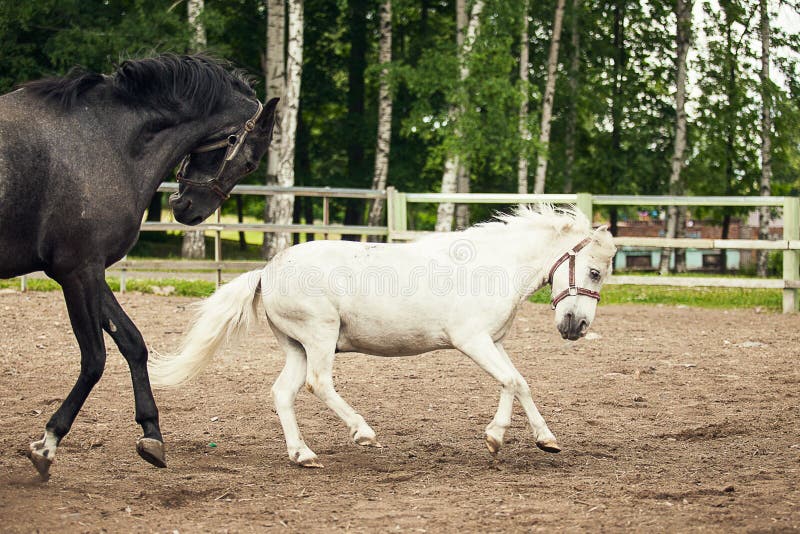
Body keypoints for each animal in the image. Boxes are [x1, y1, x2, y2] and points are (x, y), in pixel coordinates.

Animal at [0, 54, 279, 480]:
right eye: (249, 162)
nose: (188, 209)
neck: (106, 140)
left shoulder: (90, 271)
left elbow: (133, 343)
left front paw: (151, 434)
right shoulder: (77, 271)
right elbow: (95, 359)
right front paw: (48, 443)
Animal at [149, 205, 617, 467]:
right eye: (595, 271)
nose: (577, 327)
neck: (492, 266)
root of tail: (267, 270)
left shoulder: (494, 343)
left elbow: (516, 384)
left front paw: (532, 439)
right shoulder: (472, 341)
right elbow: (512, 381)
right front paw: (502, 436)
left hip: (297, 347)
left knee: (283, 392)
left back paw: (303, 455)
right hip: (320, 337)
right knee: (319, 383)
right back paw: (363, 432)